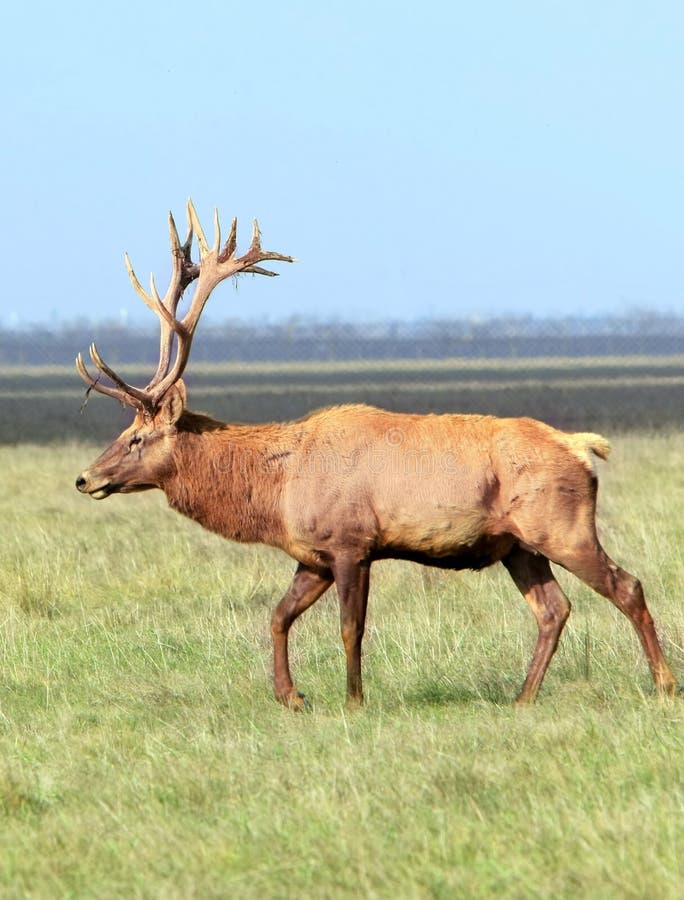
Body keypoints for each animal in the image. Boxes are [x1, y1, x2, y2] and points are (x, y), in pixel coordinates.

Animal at [75, 201, 678, 709]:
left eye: (136, 438)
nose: (84, 478)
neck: (276, 491)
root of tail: (583, 448)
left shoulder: (352, 541)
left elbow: (350, 627)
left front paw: (353, 700)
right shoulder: (312, 554)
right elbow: (277, 616)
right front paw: (291, 697)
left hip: (561, 526)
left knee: (627, 586)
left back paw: (664, 684)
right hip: (518, 545)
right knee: (554, 610)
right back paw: (523, 697)